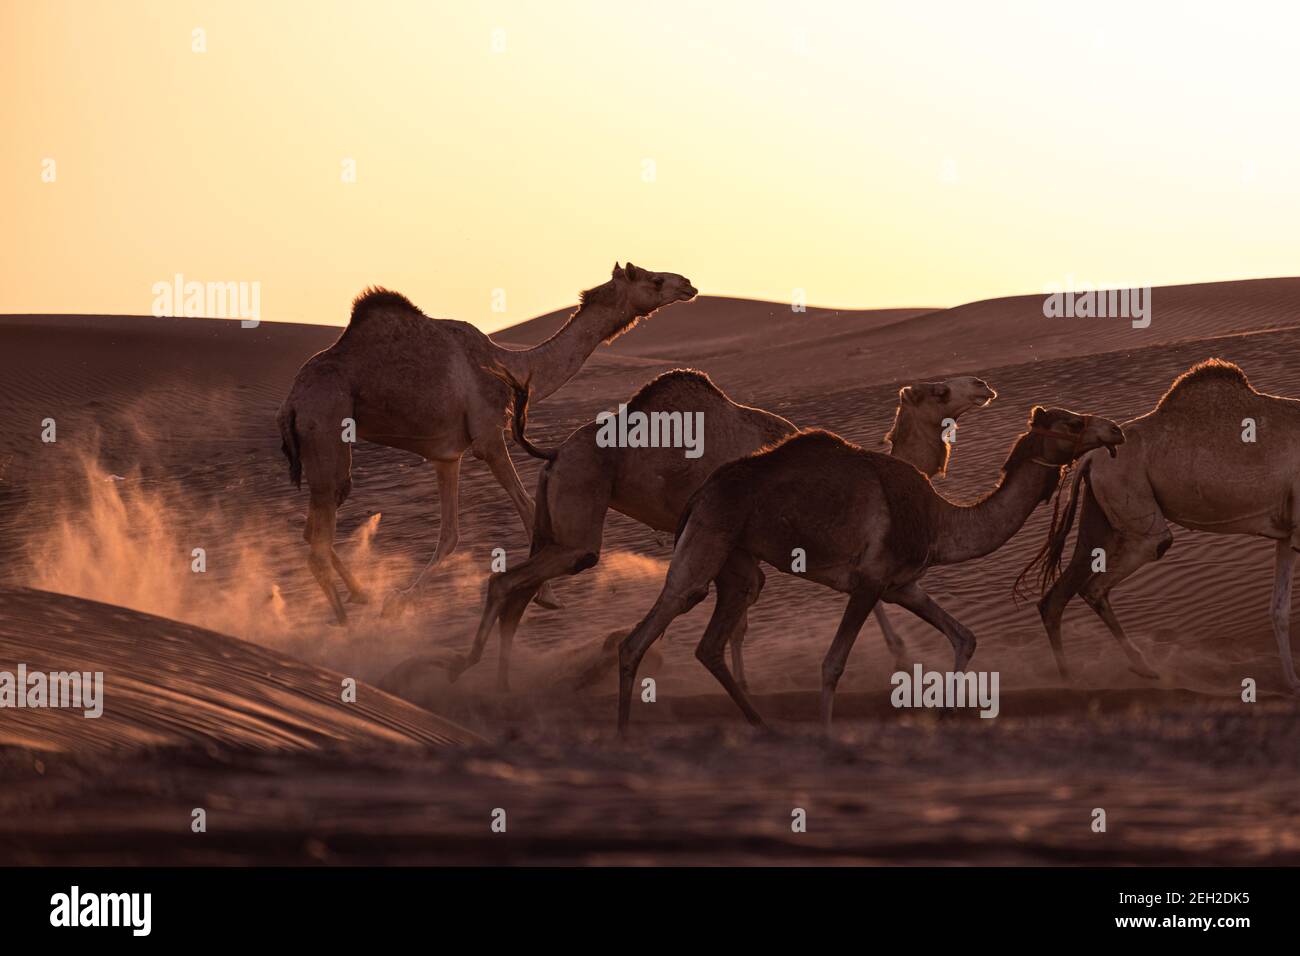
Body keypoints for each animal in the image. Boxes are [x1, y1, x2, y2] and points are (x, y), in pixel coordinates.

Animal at [277, 263, 696, 624]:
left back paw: (362, 595)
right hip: (326, 426)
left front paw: (401, 599)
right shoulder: (490, 438)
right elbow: (527, 507)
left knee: (315, 529)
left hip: (323, 449)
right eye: (655, 279)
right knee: (318, 539)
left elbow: (449, 534)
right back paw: (346, 626)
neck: (516, 368)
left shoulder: (446, 456)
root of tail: (291, 403)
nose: (688, 284)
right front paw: (547, 596)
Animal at [451, 369, 996, 690]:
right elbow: (749, 616)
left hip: (552, 519)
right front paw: (898, 654)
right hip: (579, 517)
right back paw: (468, 669)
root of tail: (555, 452)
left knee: (520, 591)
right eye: (940, 390)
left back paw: (502, 688)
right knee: (510, 581)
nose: (983, 386)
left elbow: (741, 618)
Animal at [616, 406, 1124, 732]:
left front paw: (946, 716)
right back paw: (623, 736)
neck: (940, 520)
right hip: (710, 536)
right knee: (650, 626)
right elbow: (832, 664)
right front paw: (826, 735)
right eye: (1074, 422)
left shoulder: (903, 586)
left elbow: (964, 637)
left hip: (738, 564)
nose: (1116, 430)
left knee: (712, 641)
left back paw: (764, 726)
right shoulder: (869, 582)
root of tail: (701, 493)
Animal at [1029, 359, 1300, 692]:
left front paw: (1292, 682)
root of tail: (1090, 459)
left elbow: (1279, 609)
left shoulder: (1287, 534)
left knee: (1057, 595)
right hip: (1134, 507)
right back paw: (1138, 668)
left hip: (1100, 513)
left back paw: (1076, 678)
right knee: (1101, 582)